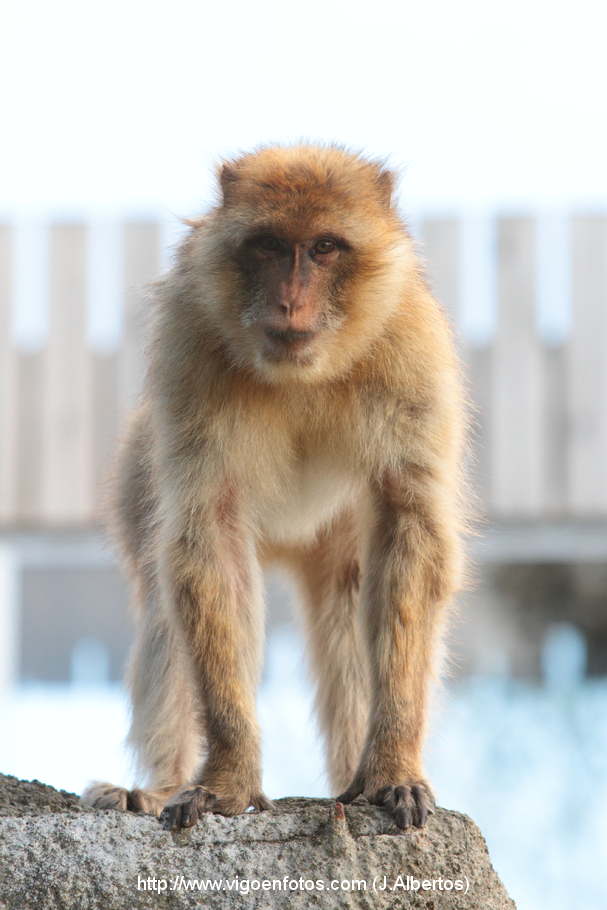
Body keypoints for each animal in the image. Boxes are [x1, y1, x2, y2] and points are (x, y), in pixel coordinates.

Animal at [82, 144, 467, 832]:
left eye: (323, 247)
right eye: (267, 245)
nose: (290, 302)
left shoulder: (412, 352)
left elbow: (409, 532)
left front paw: (392, 767)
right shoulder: (190, 347)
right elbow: (208, 540)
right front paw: (229, 777)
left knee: (348, 594)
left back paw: (352, 779)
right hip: (137, 471)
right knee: (164, 595)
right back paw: (157, 787)